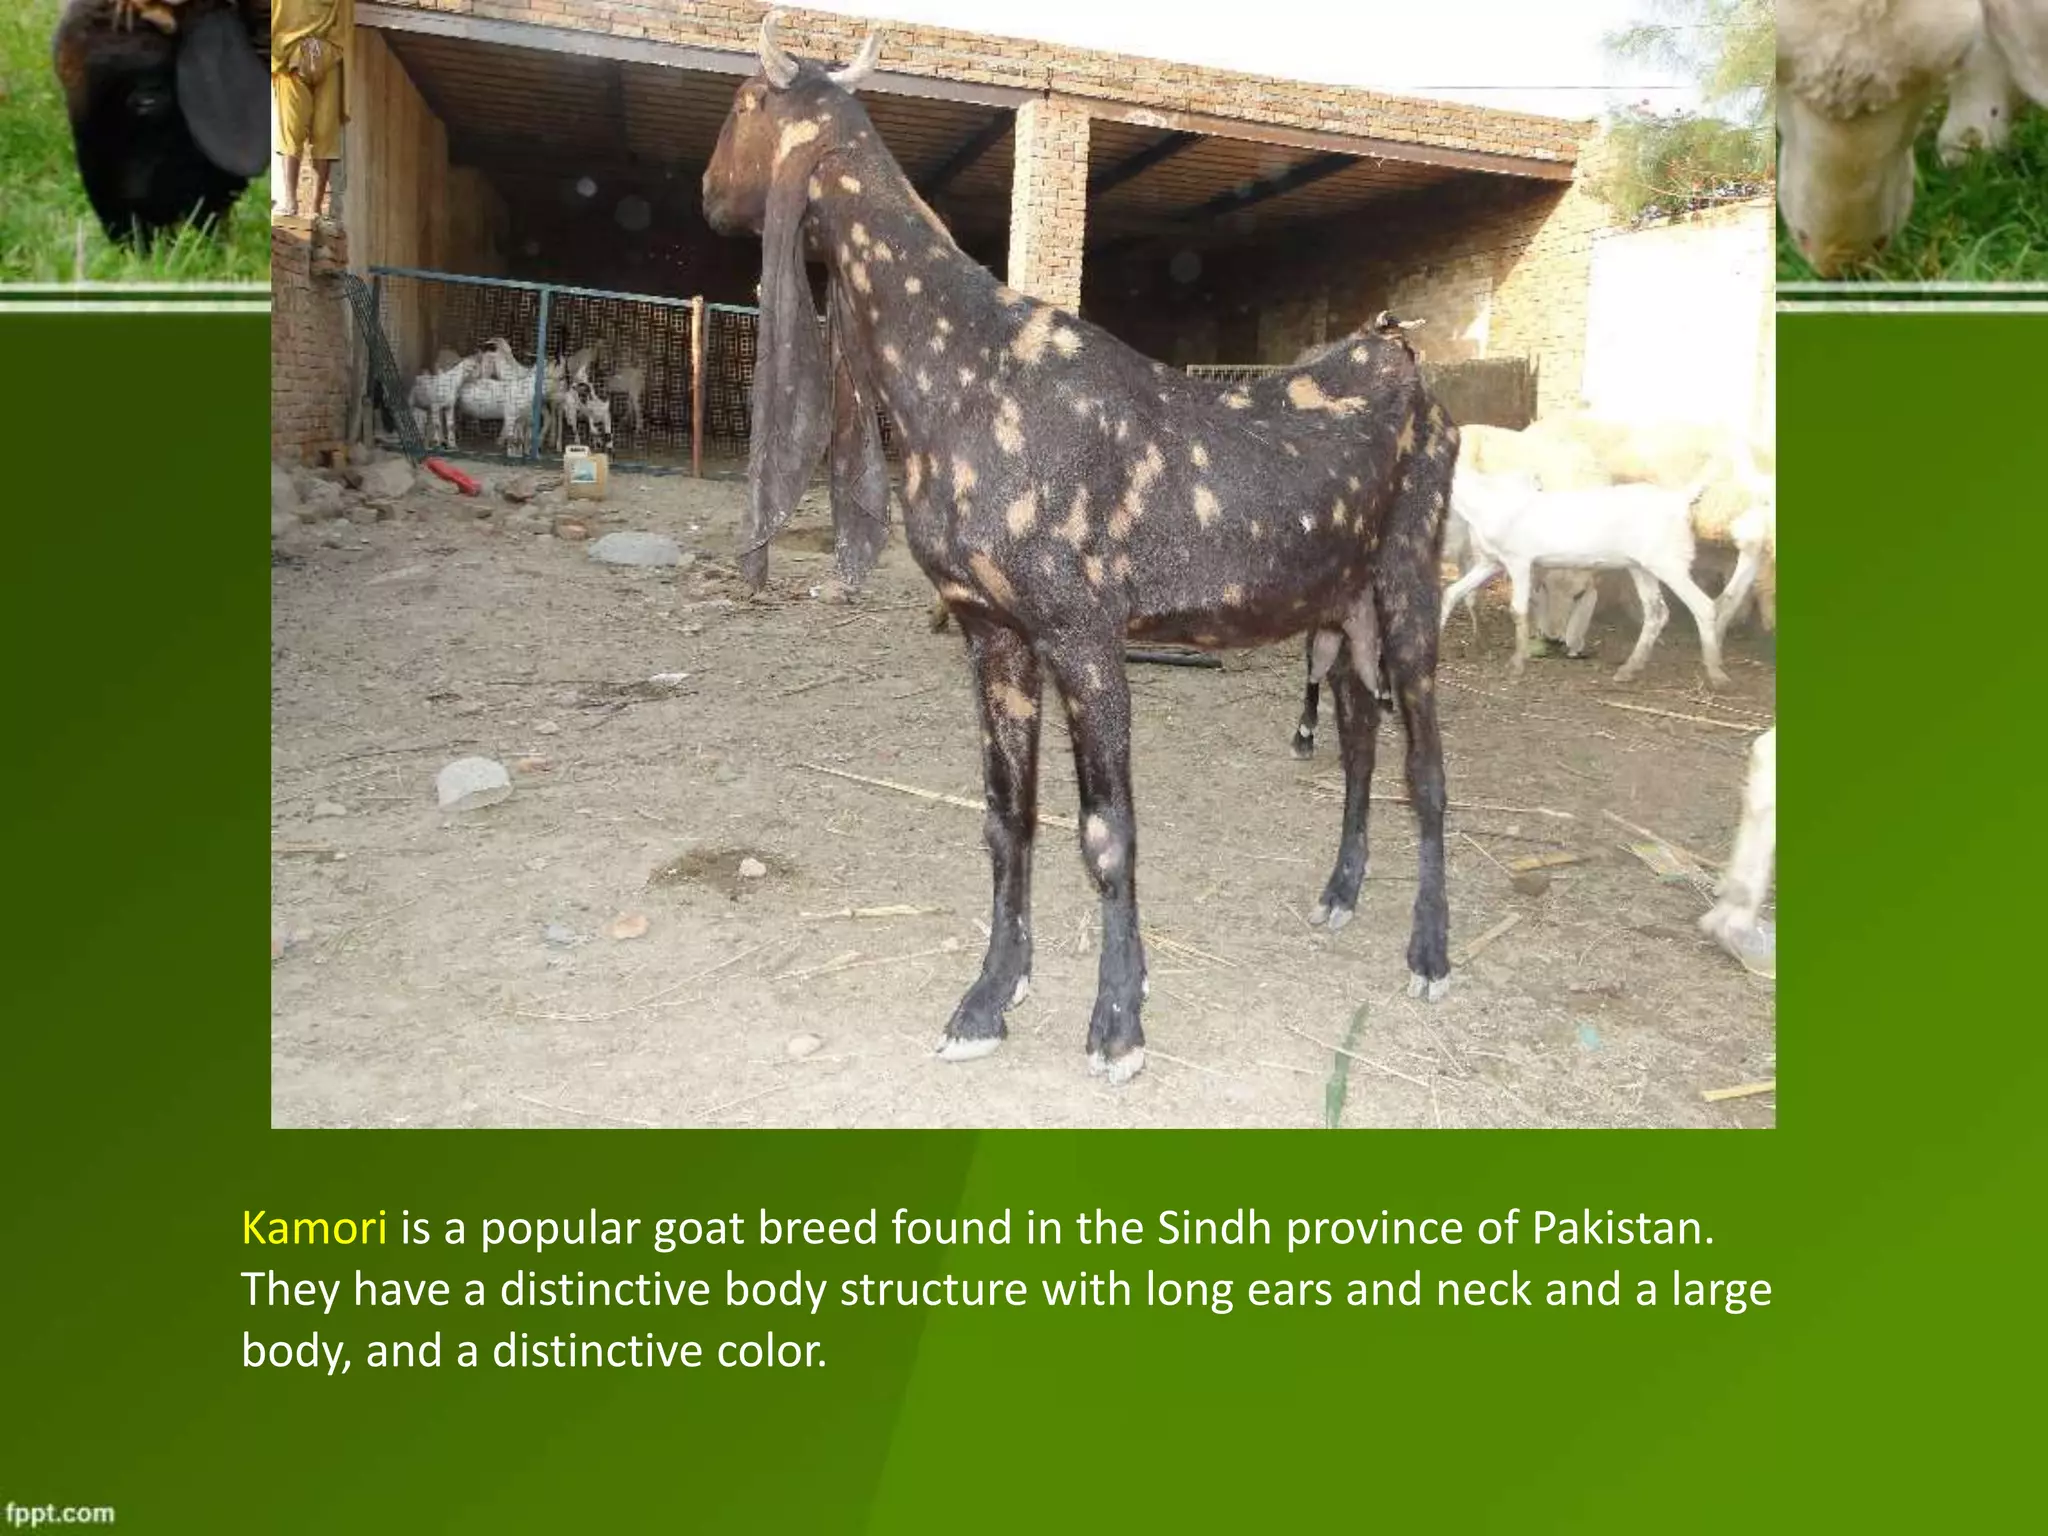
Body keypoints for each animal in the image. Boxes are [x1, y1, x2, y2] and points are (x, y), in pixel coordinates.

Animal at [703, 15, 1460, 1082]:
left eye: (741, 103)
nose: (706, 192)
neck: (963, 377)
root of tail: (1410, 367)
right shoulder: (991, 627)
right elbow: (1005, 816)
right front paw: (988, 997)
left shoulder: (1085, 629)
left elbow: (1107, 832)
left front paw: (1118, 1025)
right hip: (1339, 604)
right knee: (1359, 740)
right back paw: (1340, 894)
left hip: (1412, 582)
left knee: (1426, 771)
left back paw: (1429, 951)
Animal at [1441, 466, 1731, 686]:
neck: (1489, 504)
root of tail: (1680, 499)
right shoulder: (1491, 562)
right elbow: (1451, 593)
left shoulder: (1519, 560)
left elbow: (1518, 610)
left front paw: (1516, 665)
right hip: (1643, 567)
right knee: (1656, 612)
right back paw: (1628, 669)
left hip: (1669, 563)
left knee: (1703, 605)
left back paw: (1716, 674)